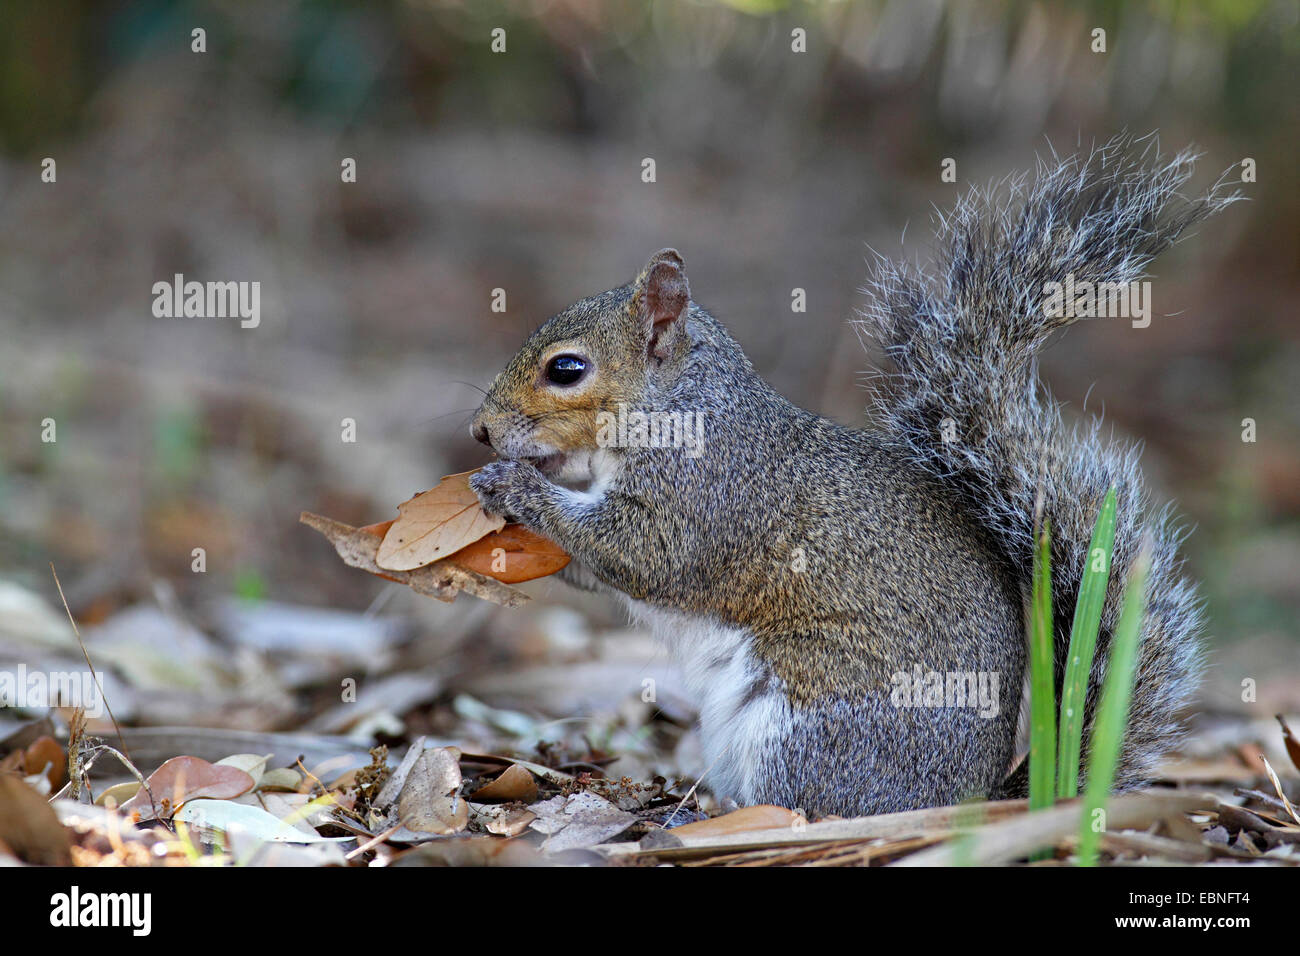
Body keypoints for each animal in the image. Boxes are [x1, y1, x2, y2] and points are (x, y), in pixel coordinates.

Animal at [467, 136, 1237, 817]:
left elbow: (647, 555)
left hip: (804, 726)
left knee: (814, 806)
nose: (480, 430)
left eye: (567, 369)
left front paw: (512, 485)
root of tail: (970, 801)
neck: (679, 409)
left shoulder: (711, 494)